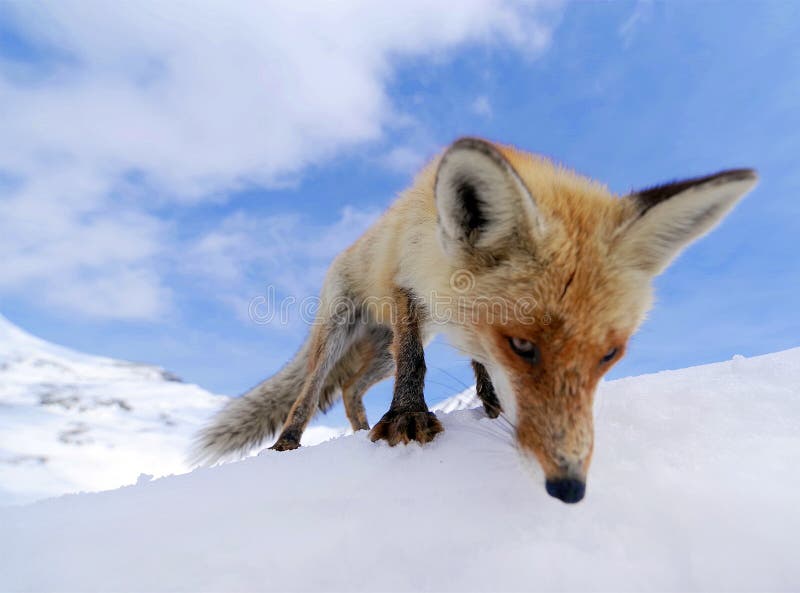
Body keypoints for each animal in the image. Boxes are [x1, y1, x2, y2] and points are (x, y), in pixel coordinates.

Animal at [193, 137, 757, 503]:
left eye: (609, 354)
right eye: (522, 346)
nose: (569, 487)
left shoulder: (458, 319)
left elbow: (479, 367)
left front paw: (489, 406)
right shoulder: (405, 287)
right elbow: (417, 364)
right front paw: (408, 417)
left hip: (381, 351)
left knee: (351, 387)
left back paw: (359, 427)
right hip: (344, 328)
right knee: (311, 390)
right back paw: (290, 441)